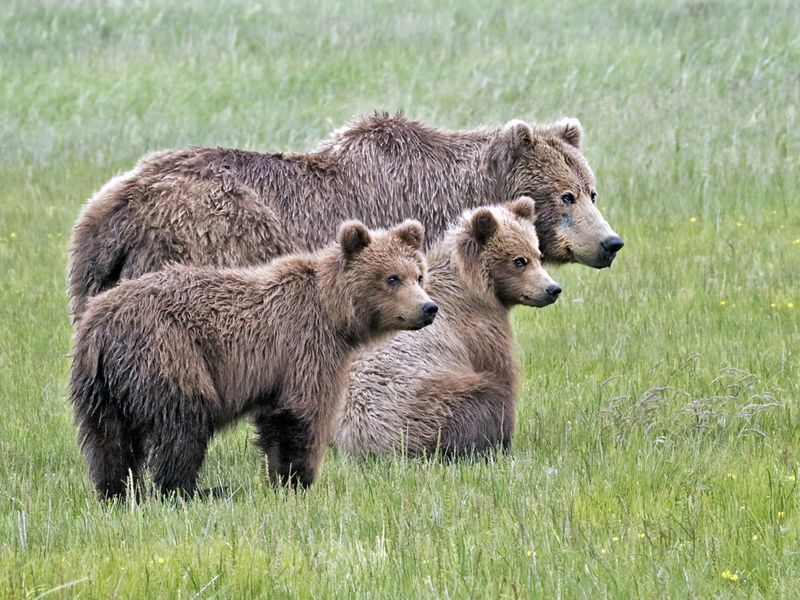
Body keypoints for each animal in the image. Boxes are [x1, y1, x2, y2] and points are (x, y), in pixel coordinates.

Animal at [68, 112, 623, 323]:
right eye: (566, 196)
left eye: (591, 191)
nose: (610, 243)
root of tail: (114, 208)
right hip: (195, 244)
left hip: (94, 277)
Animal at [69, 218, 436, 499]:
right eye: (392, 278)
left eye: (419, 274)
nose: (429, 308)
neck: (334, 315)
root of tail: (102, 326)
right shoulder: (305, 345)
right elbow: (302, 413)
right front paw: (299, 480)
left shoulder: (278, 369)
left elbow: (274, 420)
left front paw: (279, 479)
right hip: (168, 350)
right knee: (184, 421)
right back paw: (192, 491)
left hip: (97, 383)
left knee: (107, 439)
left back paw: (117, 492)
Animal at [333, 197, 558, 458]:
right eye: (519, 260)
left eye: (538, 253)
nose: (553, 289)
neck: (473, 287)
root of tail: (363, 446)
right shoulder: (478, 330)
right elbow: (502, 372)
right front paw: (507, 439)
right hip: (428, 402)